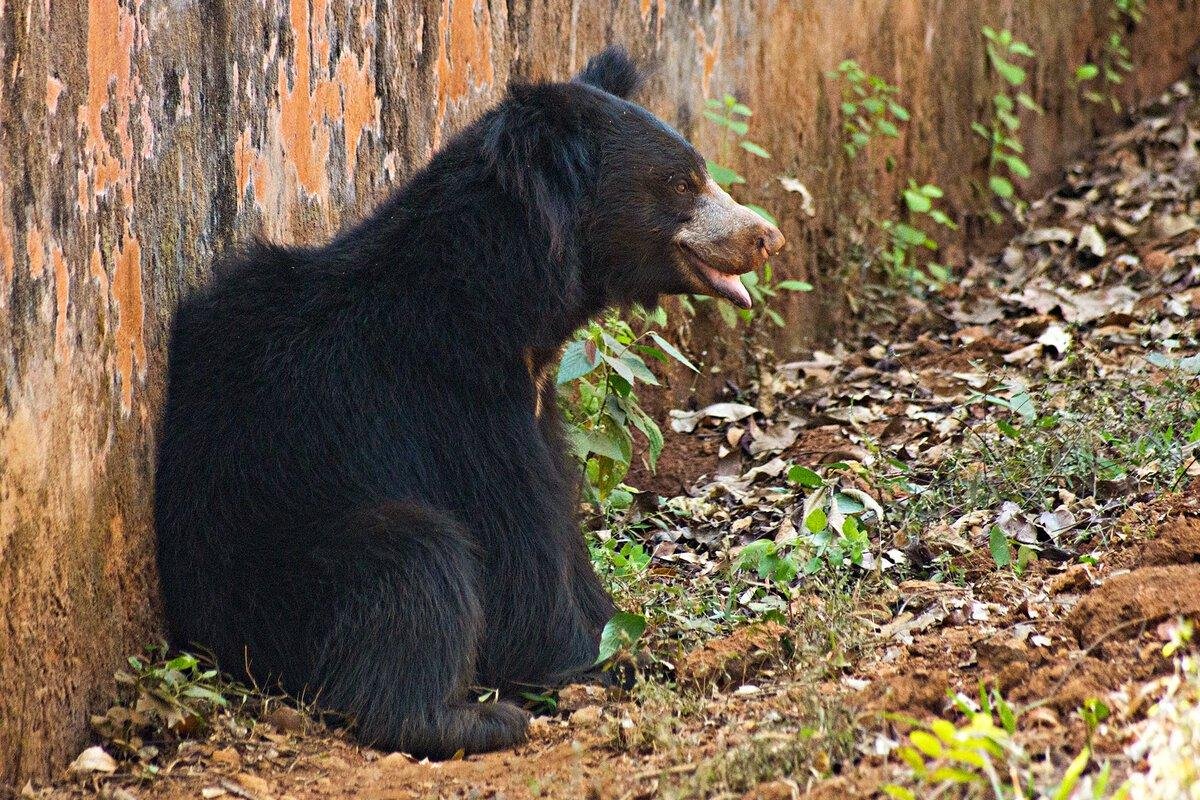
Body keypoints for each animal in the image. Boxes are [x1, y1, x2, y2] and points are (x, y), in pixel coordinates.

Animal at [154, 45, 782, 758]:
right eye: (682, 185)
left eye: (701, 175)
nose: (766, 236)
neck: (504, 302)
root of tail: (203, 636)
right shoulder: (450, 400)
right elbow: (517, 543)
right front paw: (606, 662)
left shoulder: (533, 404)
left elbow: (559, 526)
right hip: (286, 581)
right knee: (414, 558)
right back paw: (469, 721)